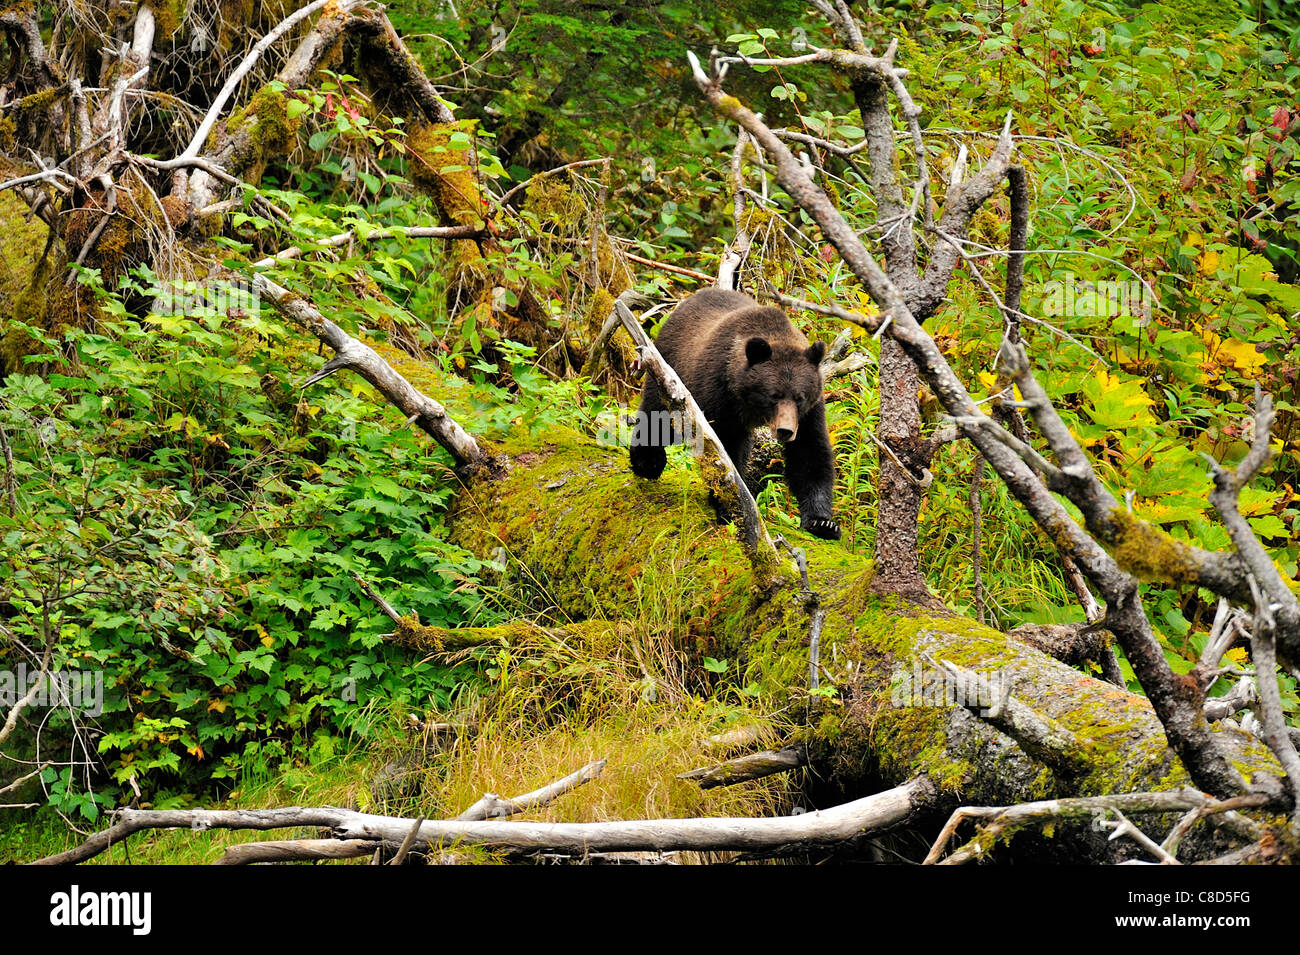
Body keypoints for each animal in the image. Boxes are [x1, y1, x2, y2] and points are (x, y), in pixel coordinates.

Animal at [629, 288, 841, 540]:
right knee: (657, 414)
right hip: (672, 370)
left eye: (800, 397)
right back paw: (648, 462)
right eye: (774, 394)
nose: (786, 431)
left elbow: (810, 452)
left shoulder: (809, 412)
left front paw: (823, 523)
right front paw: (728, 507)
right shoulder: (719, 395)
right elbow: (723, 452)